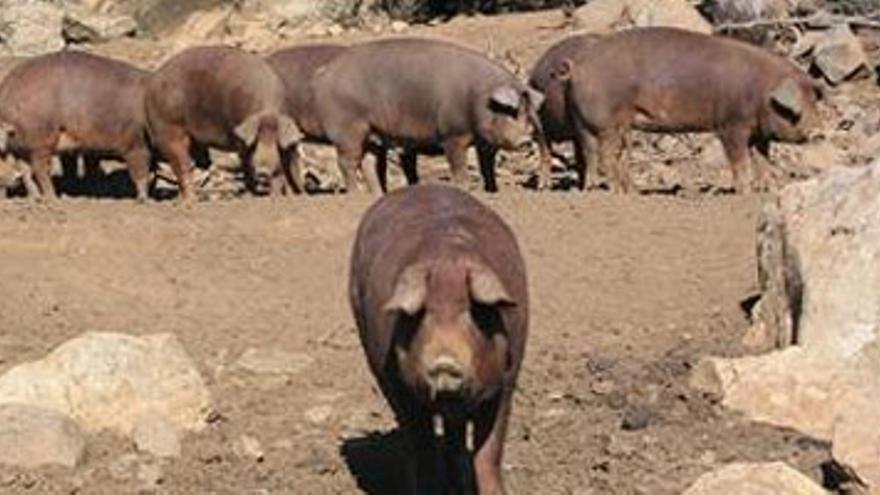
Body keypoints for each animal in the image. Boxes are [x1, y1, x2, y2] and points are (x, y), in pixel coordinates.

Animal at [0, 51, 152, 201]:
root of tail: (8, 88)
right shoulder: (135, 146)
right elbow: (140, 172)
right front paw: (143, 198)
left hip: (23, 147)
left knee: (26, 170)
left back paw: (36, 197)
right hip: (40, 143)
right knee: (39, 169)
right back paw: (52, 197)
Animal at [145, 46, 303, 201]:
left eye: (276, 141)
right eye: (256, 140)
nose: (263, 170)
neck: (267, 110)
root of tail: (152, 84)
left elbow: (281, 167)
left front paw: (278, 197)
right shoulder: (240, 136)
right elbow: (247, 163)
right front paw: (250, 195)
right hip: (166, 128)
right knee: (181, 163)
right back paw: (189, 200)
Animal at [312, 37, 545, 194]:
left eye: (527, 111)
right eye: (511, 111)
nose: (526, 140)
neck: (476, 99)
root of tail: (324, 74)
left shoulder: (485, 144)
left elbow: (487, 167)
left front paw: (492, 191)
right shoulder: (453, 136)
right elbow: (459, 169)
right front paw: (465, 189)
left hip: (372, 134)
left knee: (370, 163)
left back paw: (377, 194)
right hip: (347, 131)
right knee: (347, 162)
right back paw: (355, 195)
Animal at [349, 184, 528, 494]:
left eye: (472, 313)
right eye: (425, 316)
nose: (444, 362)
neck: (449, 260)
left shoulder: (507, 381)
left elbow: (489, 453)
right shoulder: (401, 388)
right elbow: (422, 447)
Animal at [529, 27, 822, 192]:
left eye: (813, 102)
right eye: (795, 110)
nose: (819, 132)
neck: (761, 92)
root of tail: (579, 65)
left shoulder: (758, 134)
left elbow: (763, 160)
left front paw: (767, 189)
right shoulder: (731, 125)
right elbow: (739, 161)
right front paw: (743, 192)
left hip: (592, 124)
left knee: (592, 156)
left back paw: (607, 191)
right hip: (605, 123)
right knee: (604, 157)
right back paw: (612, 192)